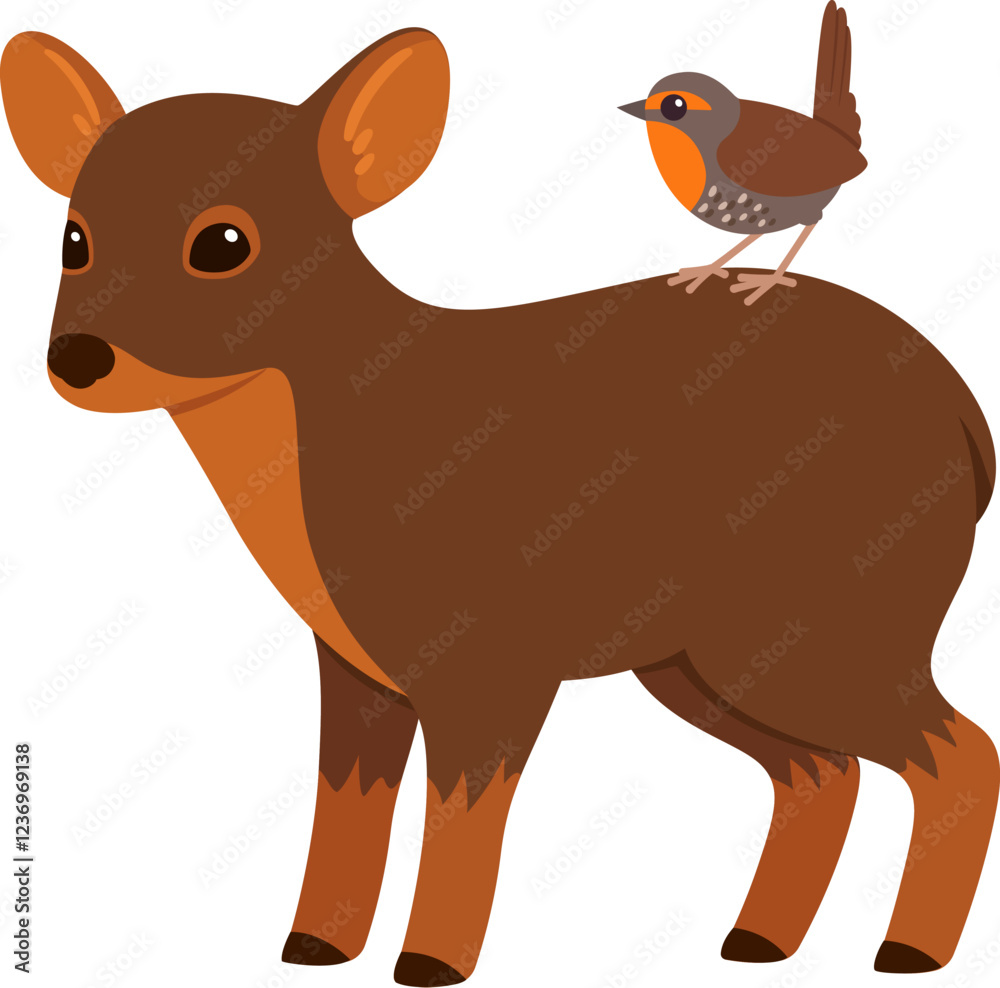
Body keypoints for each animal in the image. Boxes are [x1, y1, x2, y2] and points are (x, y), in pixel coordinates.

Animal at [2, 24, 997, 985]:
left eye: (223, 243)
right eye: (72, 239)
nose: (77, 359)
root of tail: (968, 419)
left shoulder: (493, 657)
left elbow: (464, 811)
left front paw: (429, 962)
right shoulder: (357, 665)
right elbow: (345, 800)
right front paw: (314, 946)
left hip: (824, 619)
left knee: (957, 753)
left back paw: (909, 952)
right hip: (707, 657)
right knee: (823, 772)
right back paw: (758, 941)